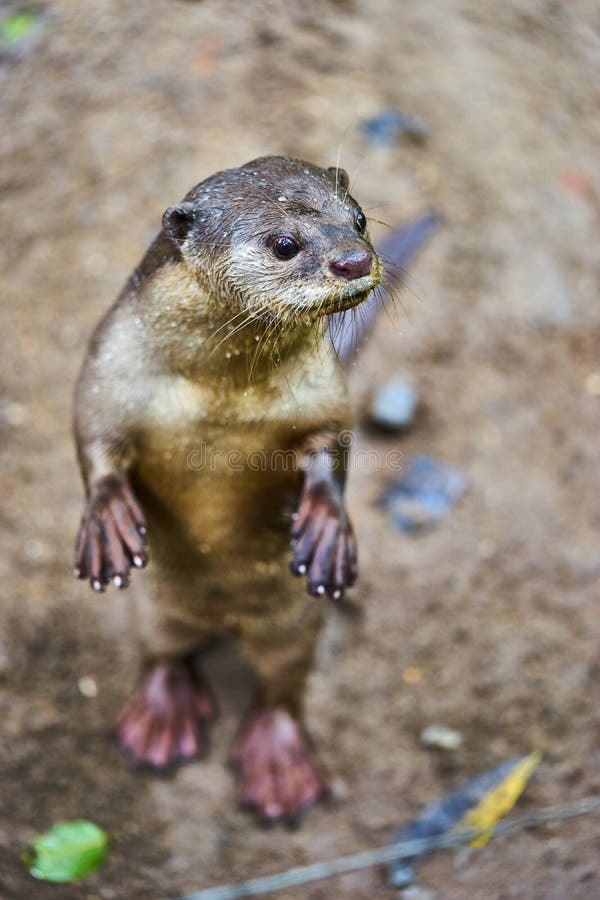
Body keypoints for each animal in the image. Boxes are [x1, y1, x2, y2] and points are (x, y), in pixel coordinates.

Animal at [73, 155, 383, 823]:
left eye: (360, 219)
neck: (219, 387)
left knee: (282, 687)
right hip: (157, 608)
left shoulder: (323, 389)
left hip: (295, 624)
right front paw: (107, 519)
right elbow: (94, 432)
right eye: (284, 243)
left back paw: (279, 765)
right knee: (163, 651)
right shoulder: (109, 363)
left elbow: (333, 441)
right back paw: (159, 721)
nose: (353, 258)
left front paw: (326, 525)